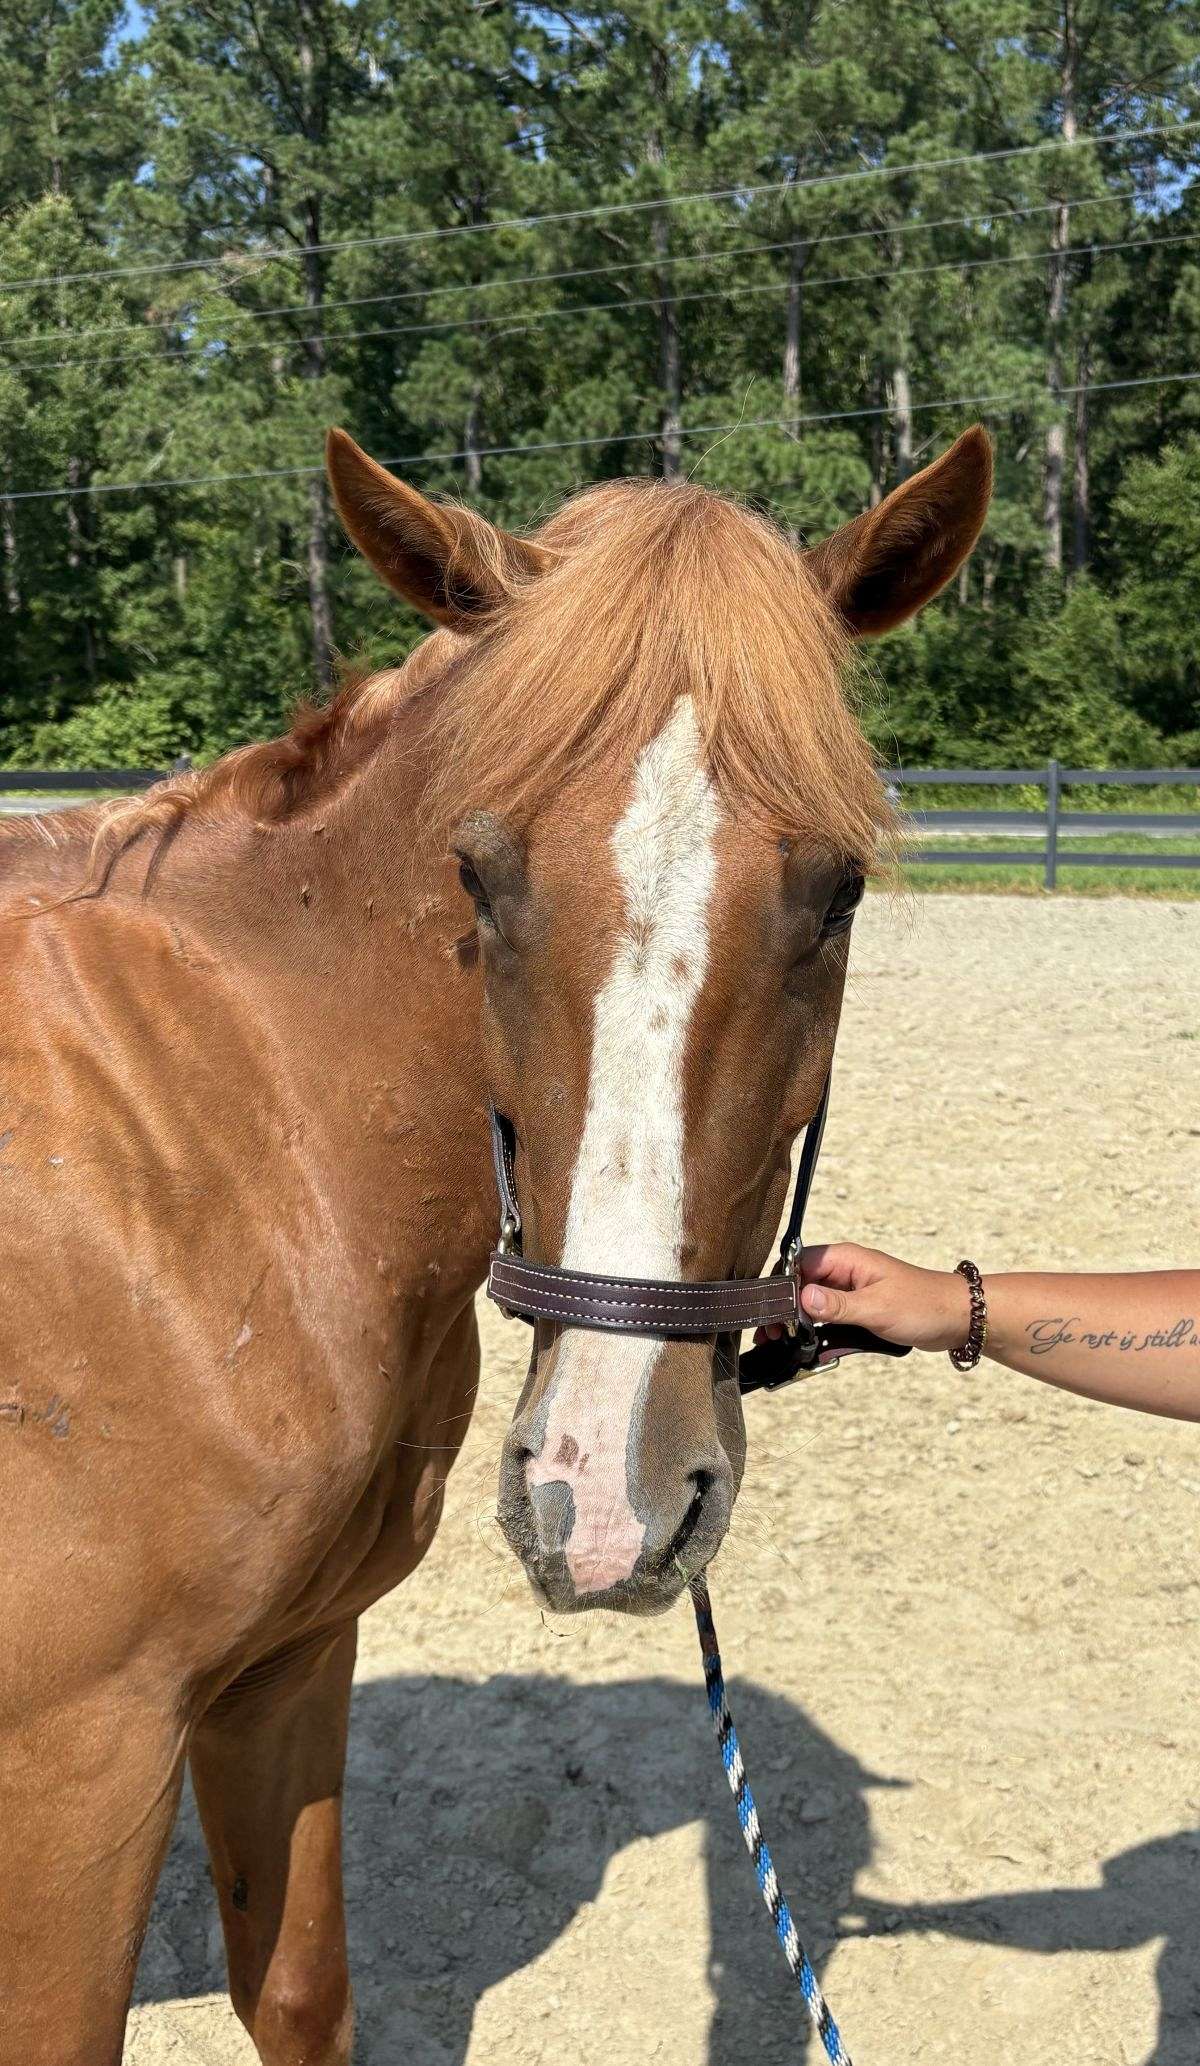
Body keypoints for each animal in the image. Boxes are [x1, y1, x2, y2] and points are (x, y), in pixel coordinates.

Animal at [0, 421, 991, 2066]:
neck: (205, 1141)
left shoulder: (283, 1669)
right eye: (477, 874)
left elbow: (303, 1993)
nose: (606, 1500)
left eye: (839, 890)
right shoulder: (75, 1758)